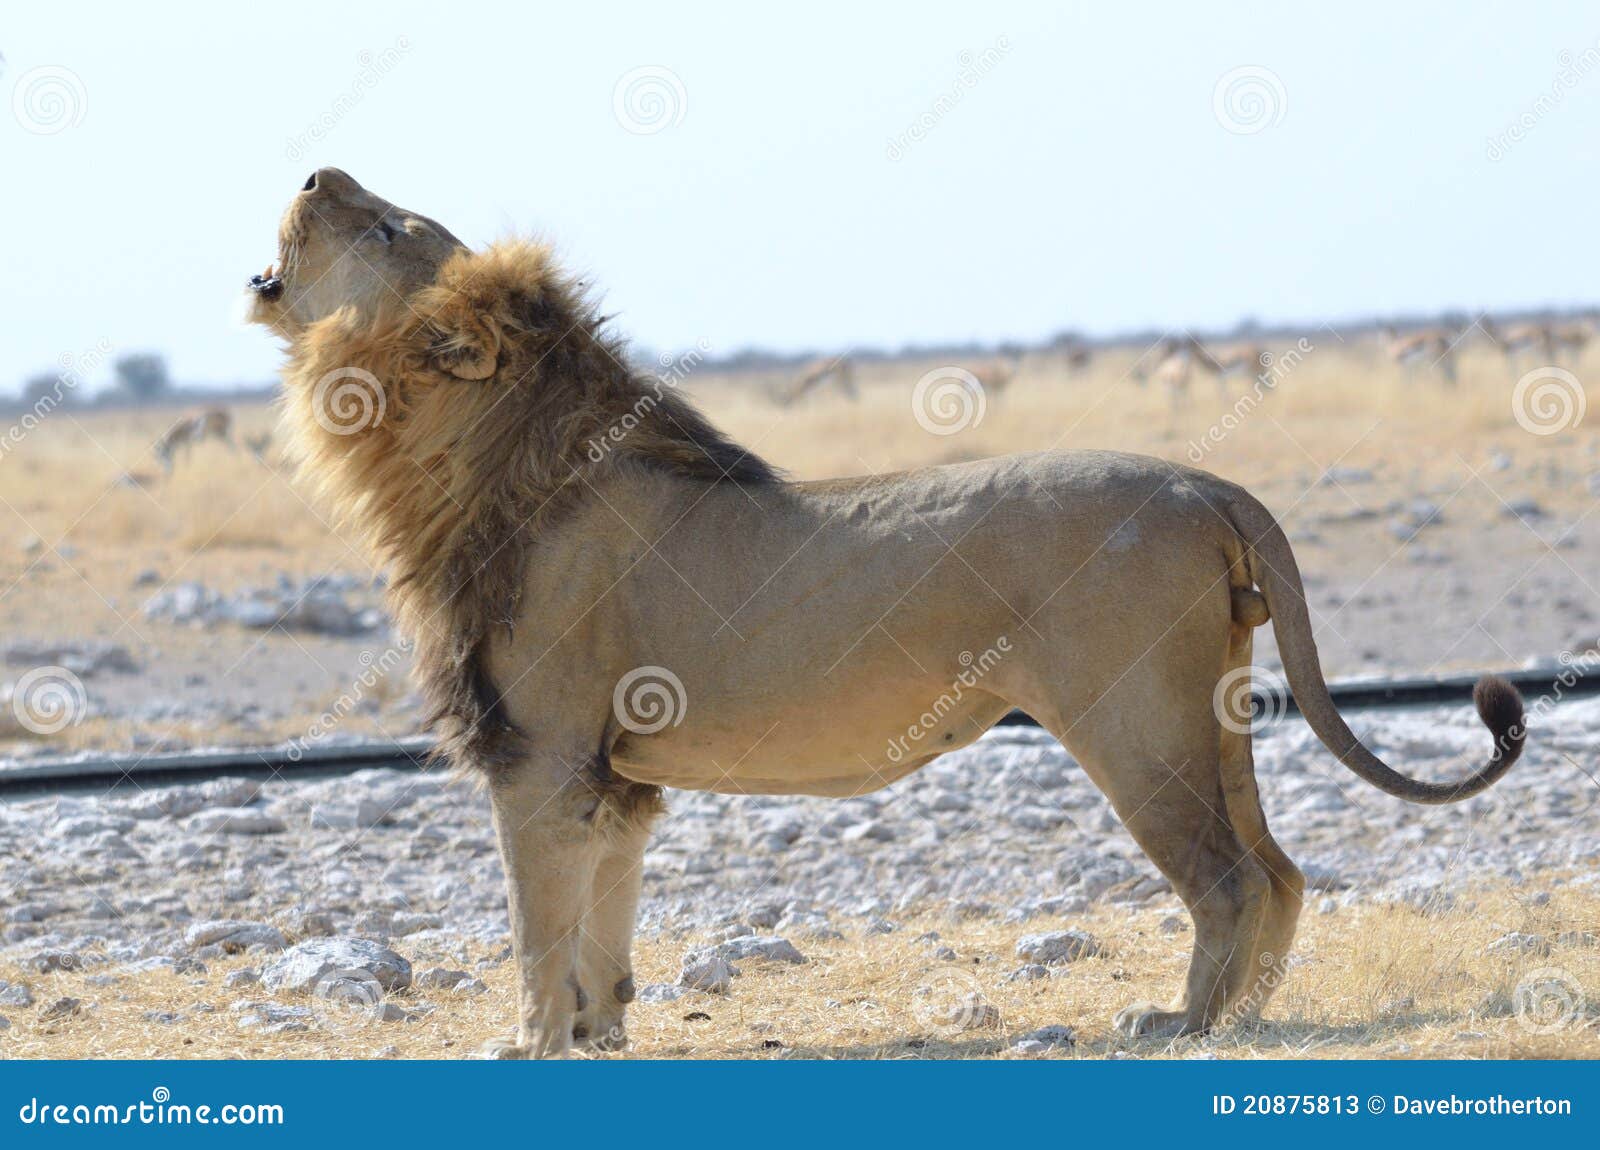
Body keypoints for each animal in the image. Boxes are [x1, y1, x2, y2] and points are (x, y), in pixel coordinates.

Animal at [248, 168, 1526, 1058]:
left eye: (385, 229)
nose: (313, 171)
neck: (469, 462)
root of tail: (1203, 480)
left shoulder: (541, 754)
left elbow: (533, 930)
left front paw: (525, 1046)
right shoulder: (611, 773)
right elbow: (602, 926)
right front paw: (598, 1036)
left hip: (1131, 719)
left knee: (1230, 877)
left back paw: (1184, 1026)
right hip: (1210, 713)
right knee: (1282, 869)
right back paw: (1248, 1018)